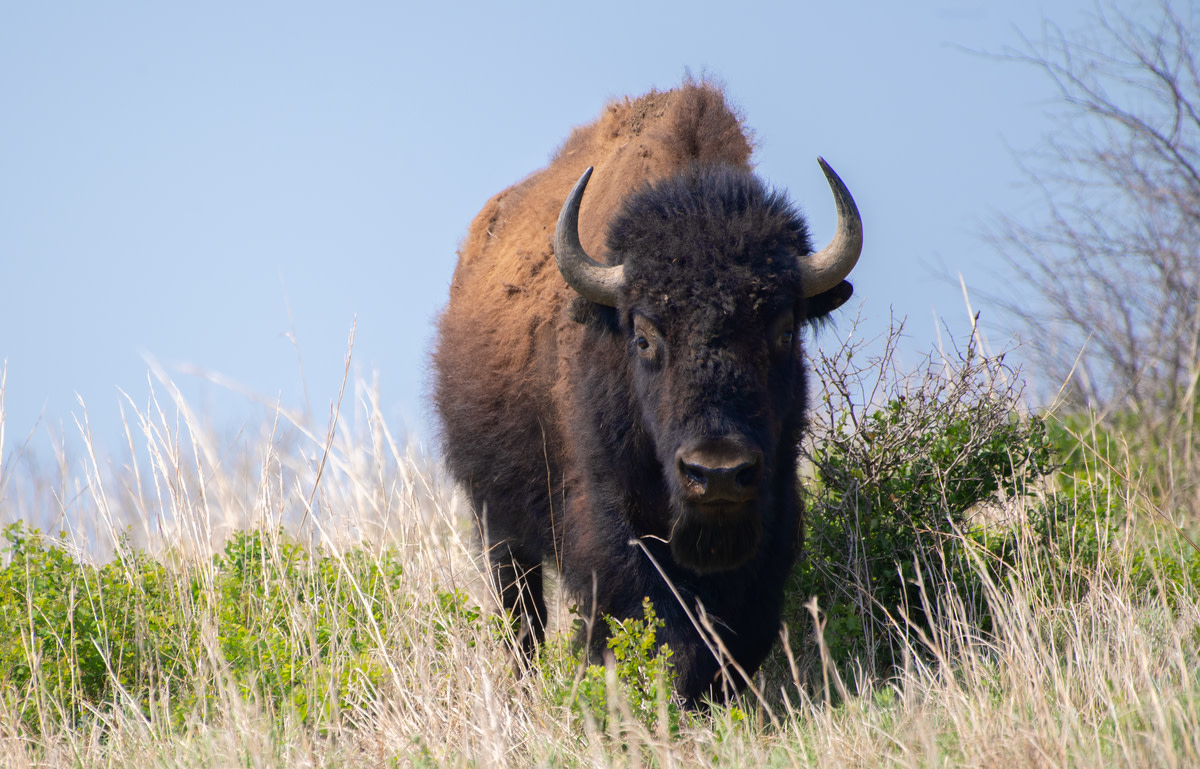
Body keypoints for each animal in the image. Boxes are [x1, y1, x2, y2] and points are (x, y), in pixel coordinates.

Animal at [432, 82, 862, 704]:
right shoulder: (611, 525)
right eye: (643, 336)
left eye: (785, 330)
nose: (717, 473)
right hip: (498, 524)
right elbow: (654, 629)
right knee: (522, 615)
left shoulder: (771, 519)